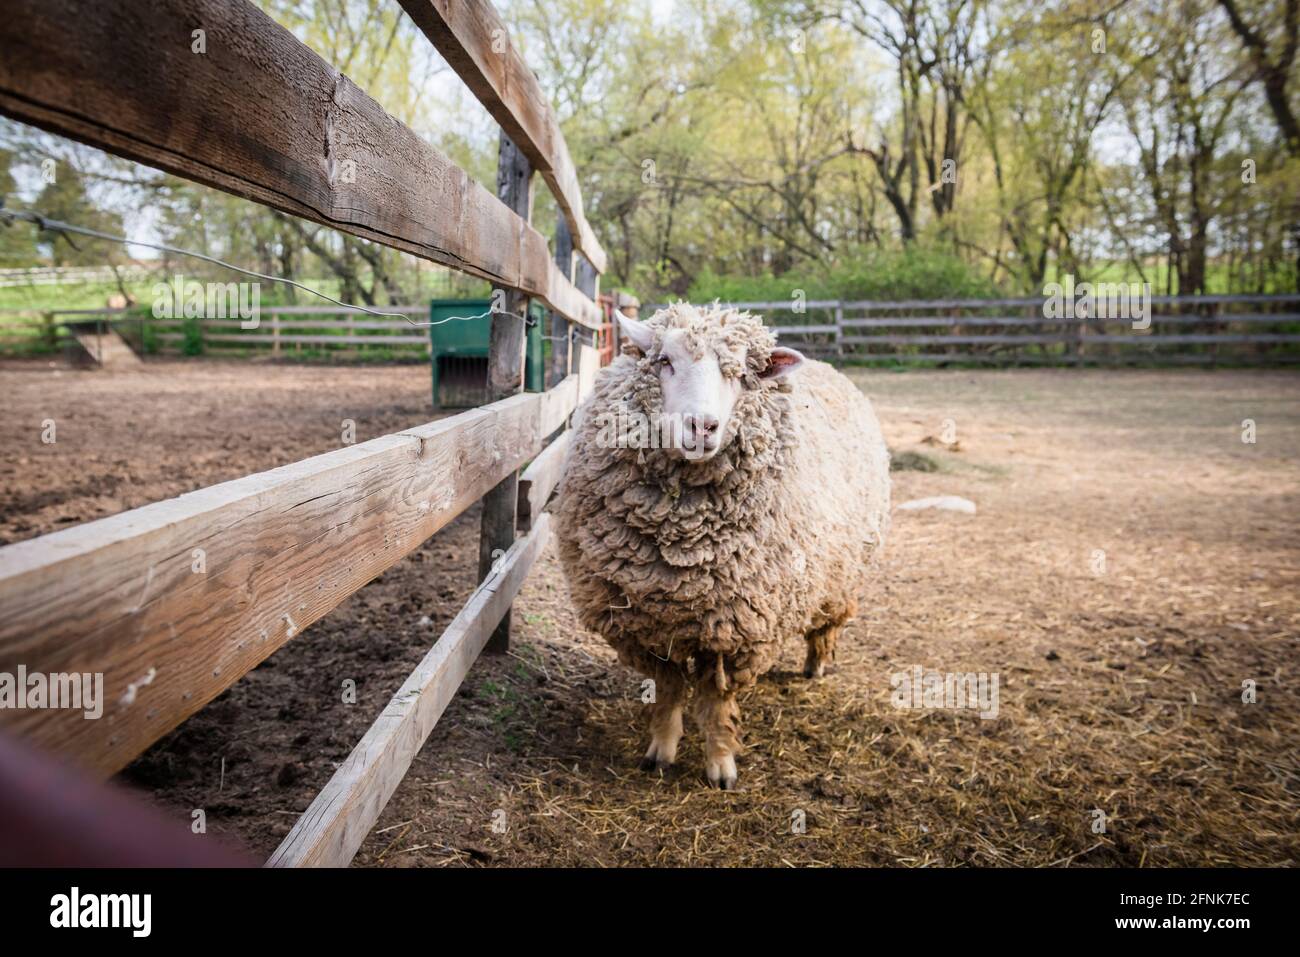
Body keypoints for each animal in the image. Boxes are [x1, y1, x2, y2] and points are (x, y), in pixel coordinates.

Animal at [554, 301, 890, 788]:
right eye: (664, 361)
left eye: (739, 374)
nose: (703, 425)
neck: (684, 547)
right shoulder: (649, 624)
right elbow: (671, 687)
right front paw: (661, 749)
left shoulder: (737, 628)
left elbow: (716, 699)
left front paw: (720, 766)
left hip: (841, 575)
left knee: (827, 624)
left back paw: (816, 664)